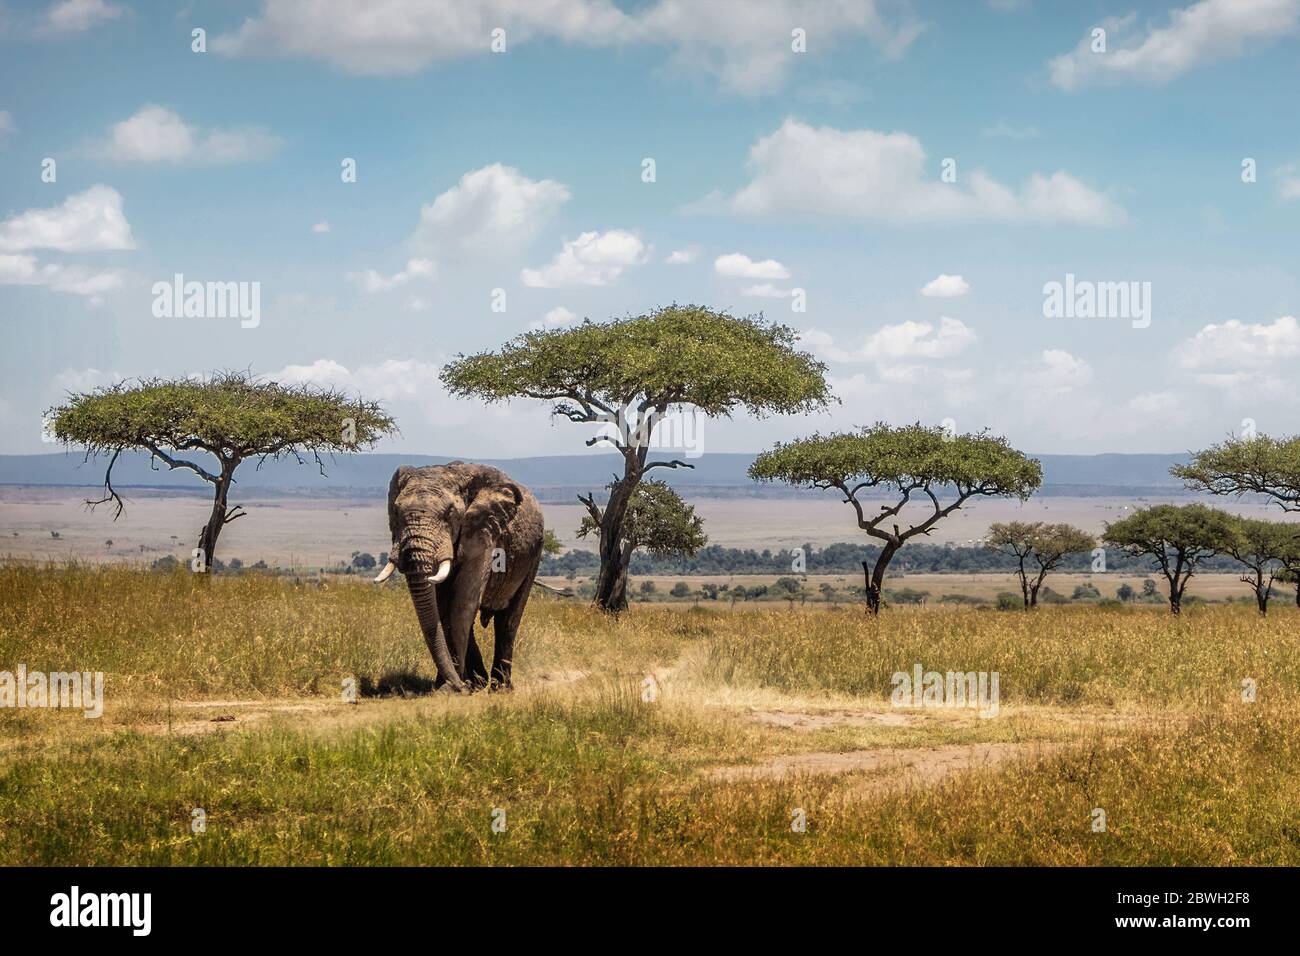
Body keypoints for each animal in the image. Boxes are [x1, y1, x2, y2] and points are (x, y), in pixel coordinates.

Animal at [374, 462, 544, 693]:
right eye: (396, 512)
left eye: (450, 514)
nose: (459, 687)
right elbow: (442, 607)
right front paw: (450, 686)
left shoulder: (483, 533)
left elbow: (463, 601)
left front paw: (448, 689)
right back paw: (478, 683)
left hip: (535, 553)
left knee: (508, 620)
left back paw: (499, 688)